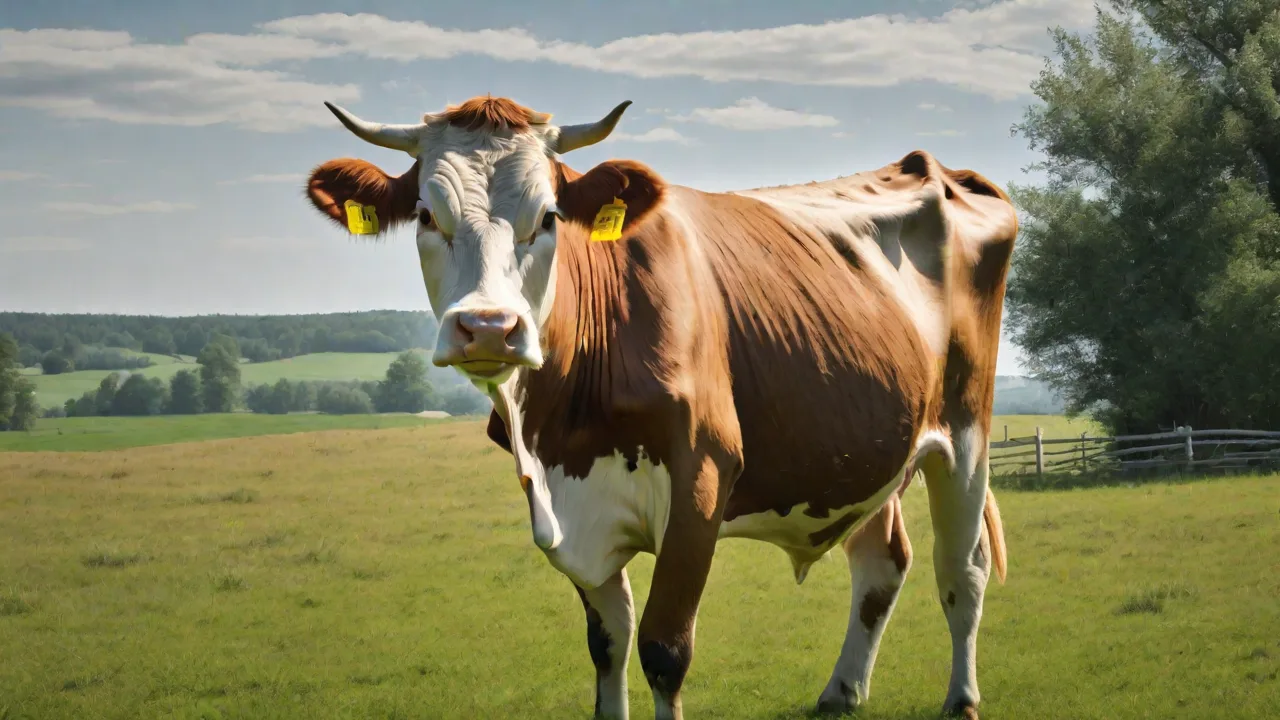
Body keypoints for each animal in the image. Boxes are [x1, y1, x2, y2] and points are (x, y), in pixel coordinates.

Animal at [303, 95, 1015, 720]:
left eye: (550, 216)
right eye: (426, 215)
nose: (487, 328)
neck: (562, 426)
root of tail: (938, 169)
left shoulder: (702, 481)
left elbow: (663, 651)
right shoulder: (570, 508)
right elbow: (608, 644)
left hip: (965, 436)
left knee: (963, 572)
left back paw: (962, 698)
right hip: (870, 449)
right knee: (881, 562)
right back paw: (841, 692)